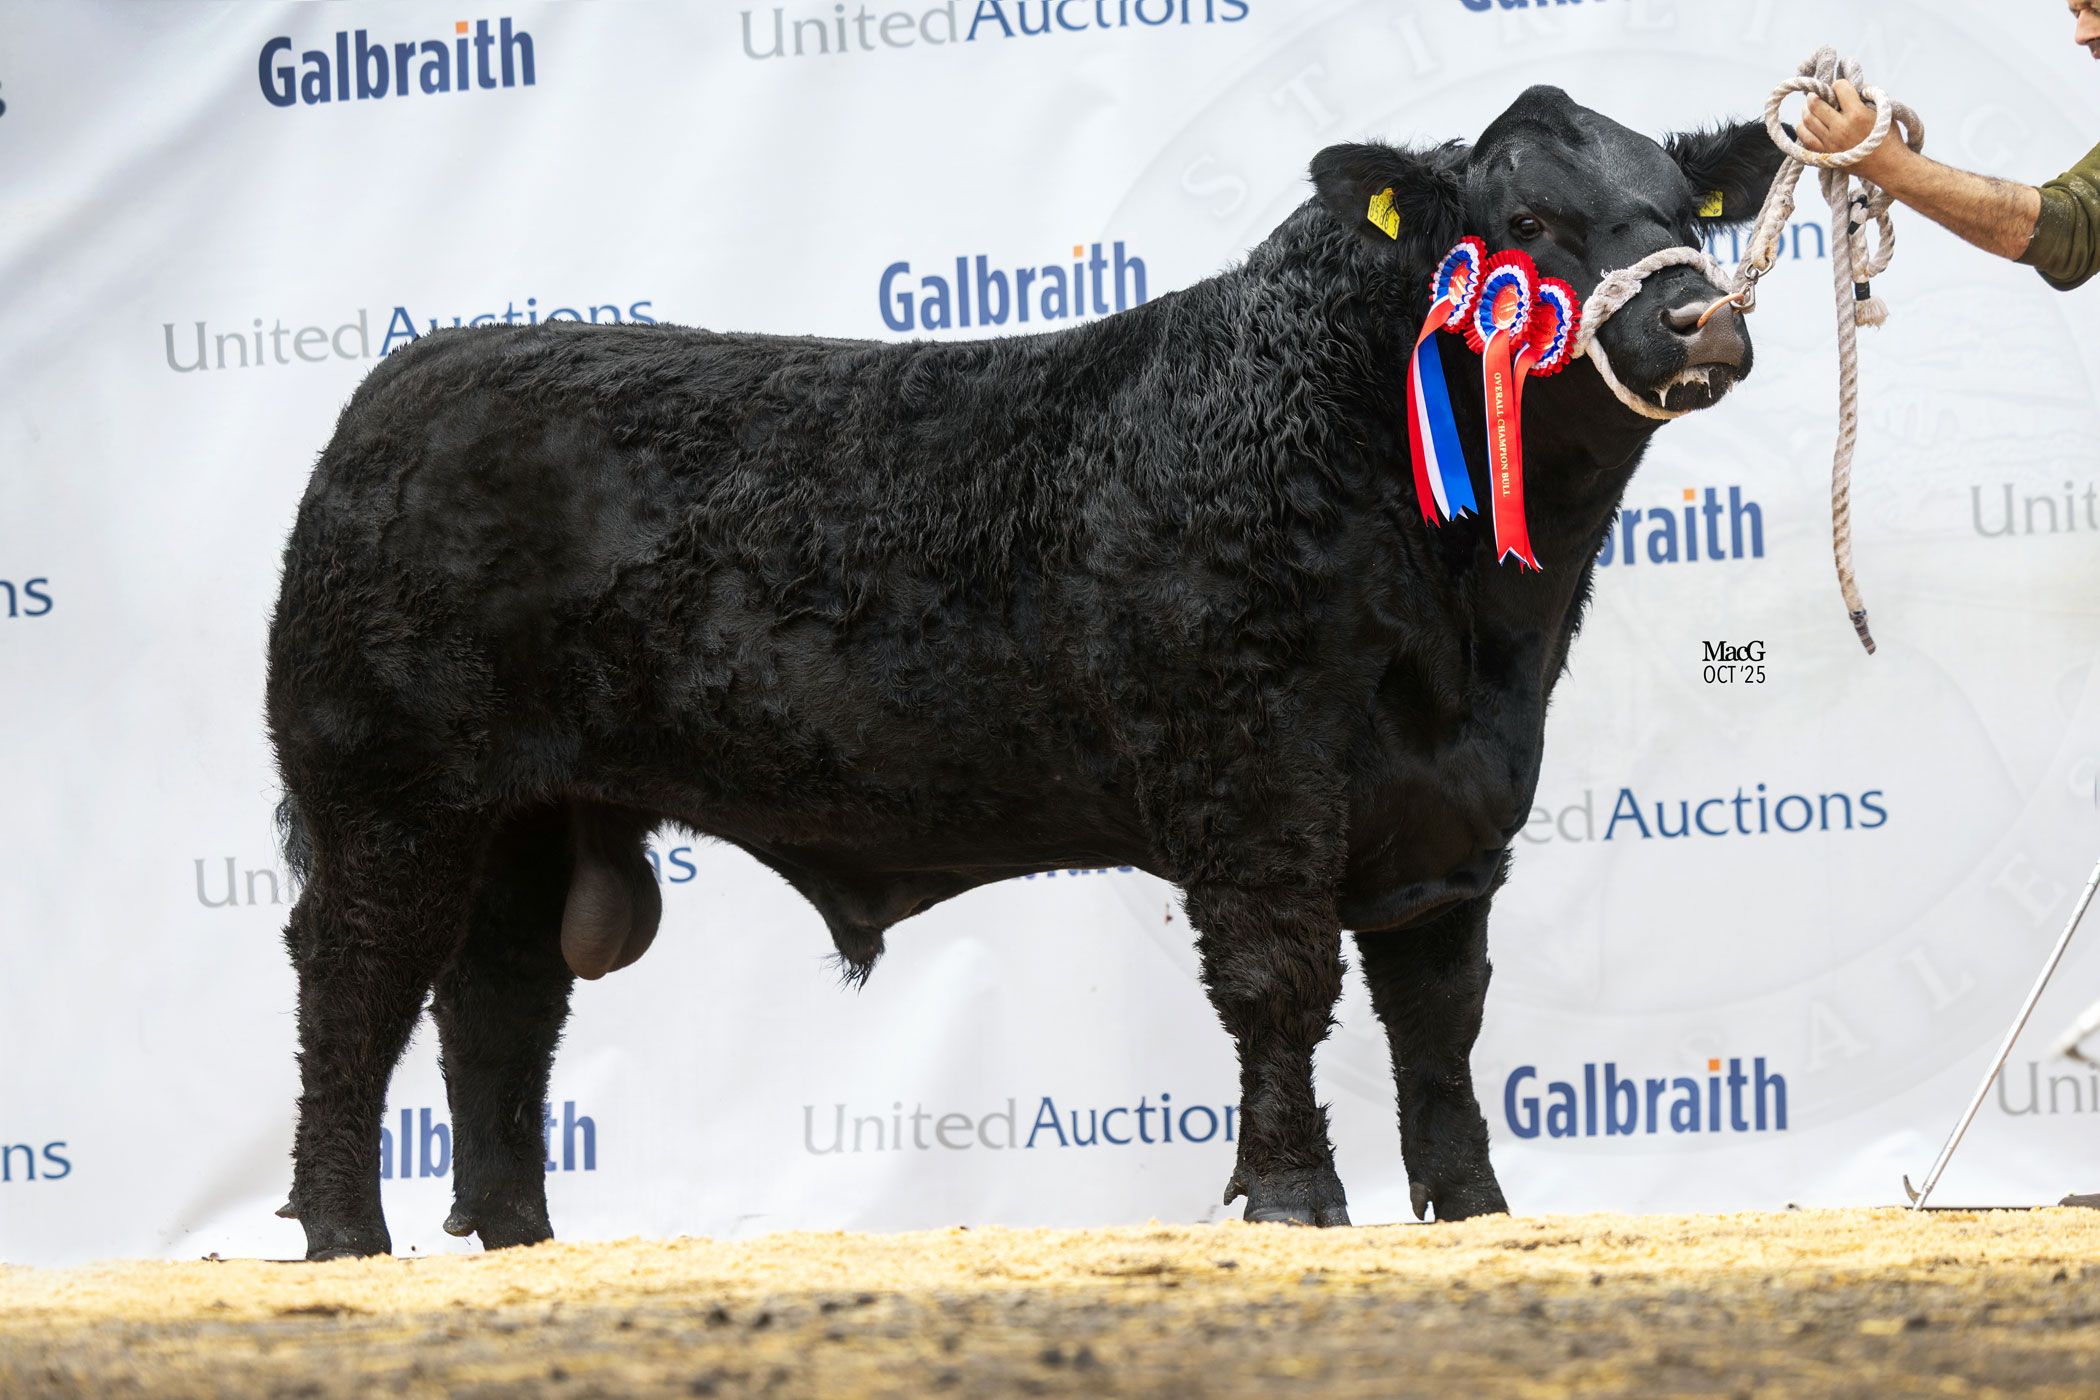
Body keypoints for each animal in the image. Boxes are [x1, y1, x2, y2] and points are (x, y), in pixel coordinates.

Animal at [267, 85, 1785, 1259]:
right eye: (1527, 225)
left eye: (1686, 209)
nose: (1704, 321)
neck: (1472, 629)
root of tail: (401, 384)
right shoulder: (1253, 777)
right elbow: (1278, 979)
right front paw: (1296, 1197)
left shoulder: (1455, 812)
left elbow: (1442, 1016)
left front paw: (1472, 1207)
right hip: (388, 793)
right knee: (354, 979)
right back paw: (347, 1233)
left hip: (521, 816)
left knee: (500, 999)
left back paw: (518, 1236)